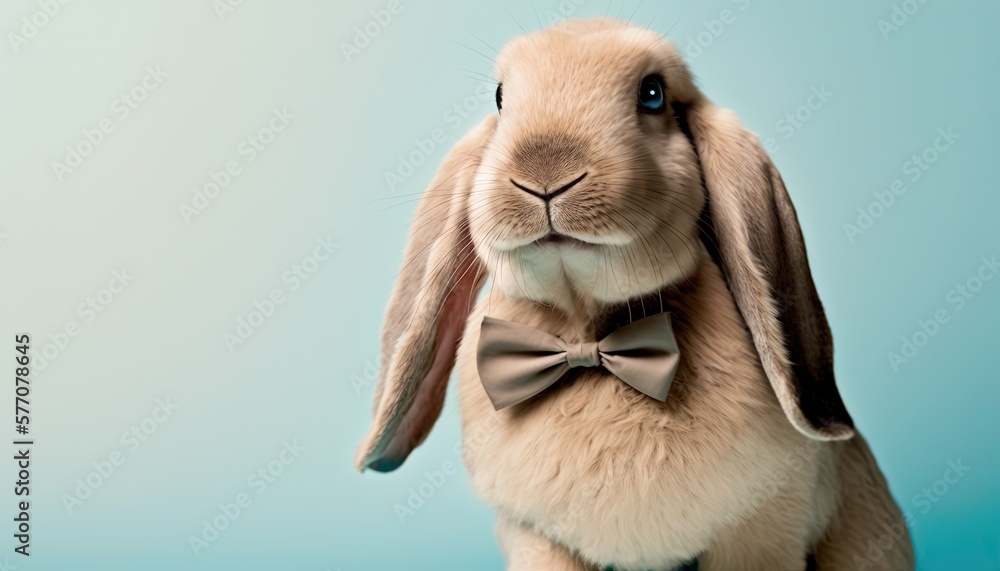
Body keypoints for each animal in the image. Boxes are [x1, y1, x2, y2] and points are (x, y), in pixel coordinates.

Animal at [354, 18, 914, 571]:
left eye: (652, 94)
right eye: (499, 98)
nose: (545, 172)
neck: (588, 337)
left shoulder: (760, 529)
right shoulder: (537, 537)